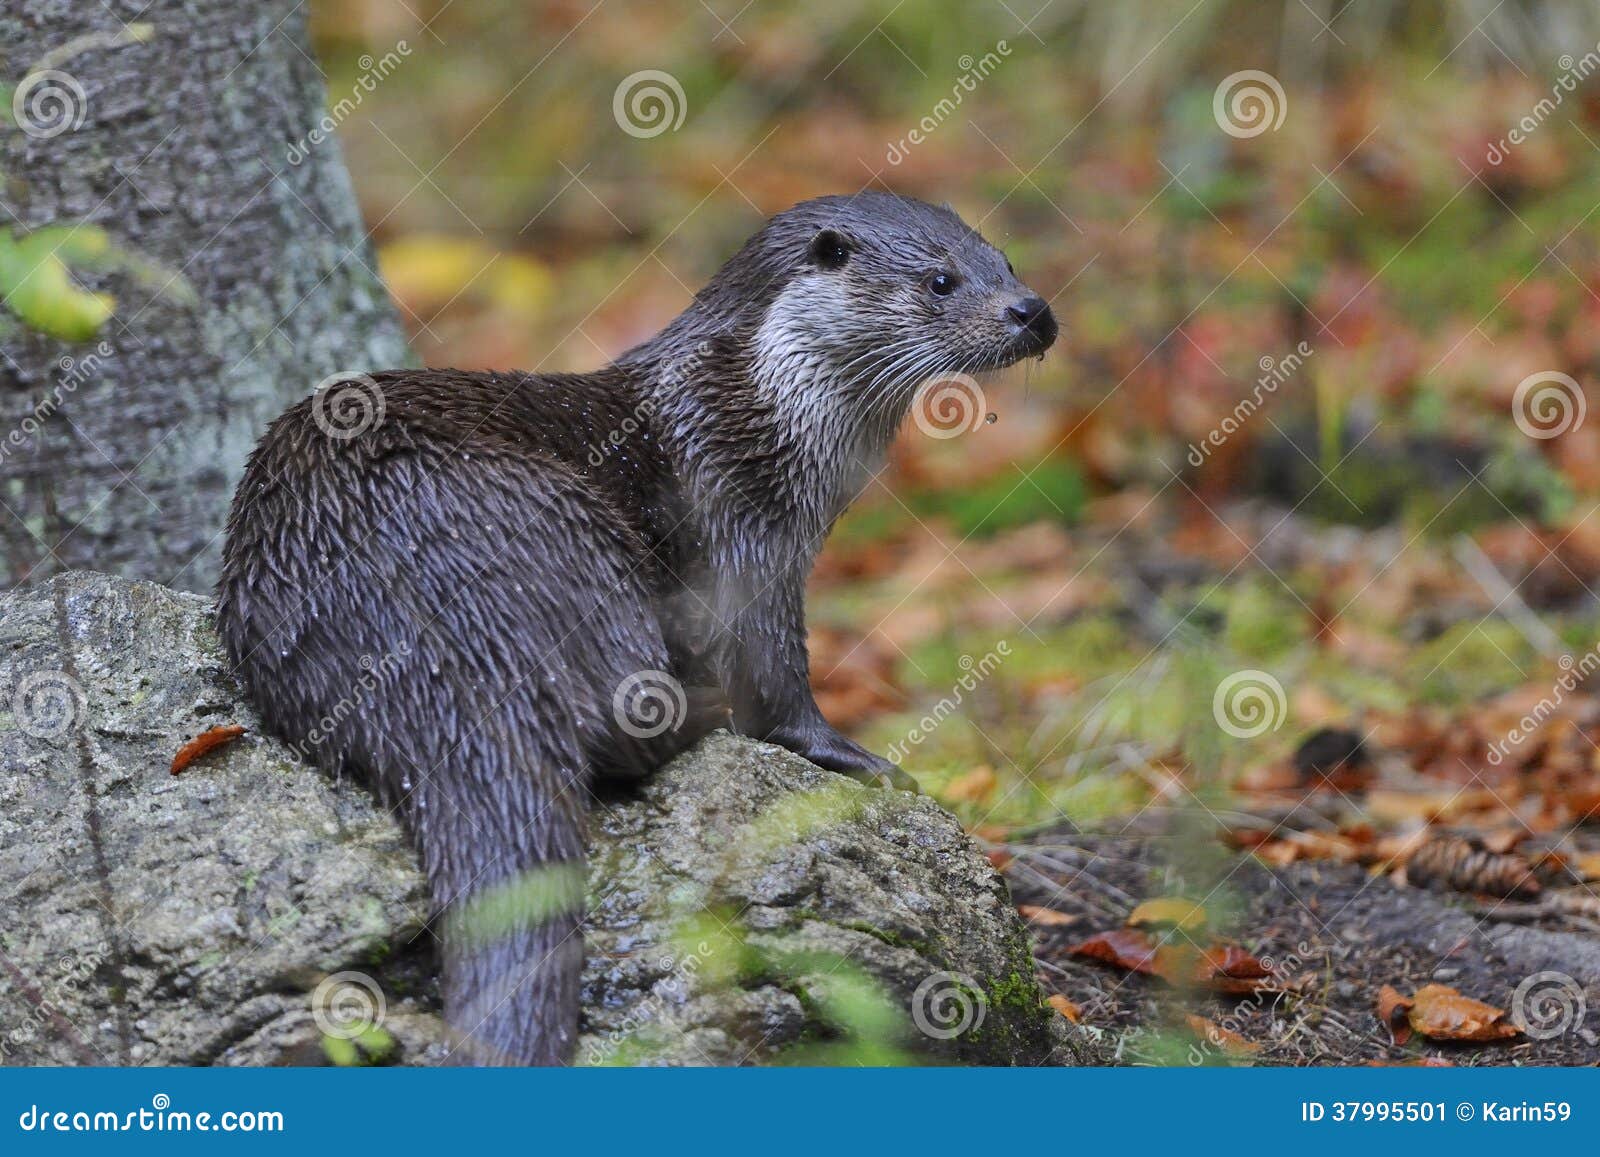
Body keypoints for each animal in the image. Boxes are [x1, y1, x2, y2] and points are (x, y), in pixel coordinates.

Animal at [215, 192, 1057, 1065]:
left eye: (1005, 261)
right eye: (940, 280)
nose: (1033, 311)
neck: (758, 407)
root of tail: (447, 640)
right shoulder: (746, 530)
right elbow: (776, 683)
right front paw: (856, 757)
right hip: (576, 529)